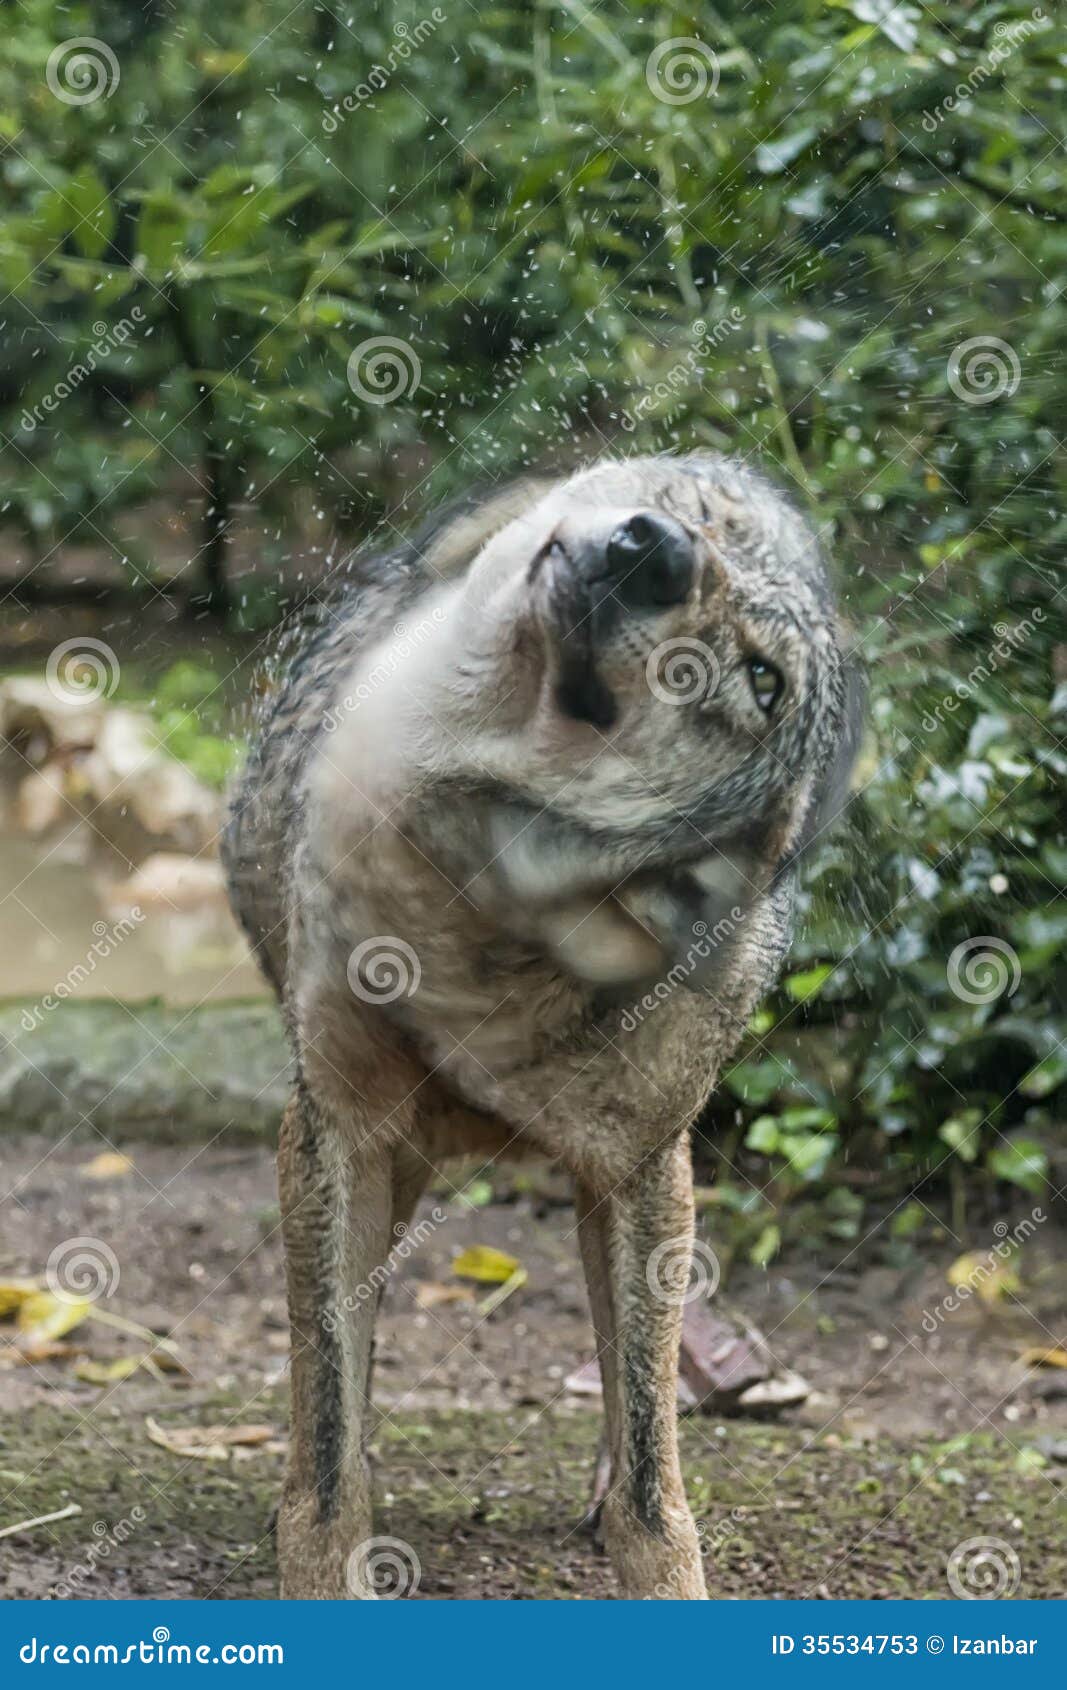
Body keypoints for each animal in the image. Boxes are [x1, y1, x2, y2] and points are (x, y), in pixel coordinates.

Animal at [223, 451, 863, 1600]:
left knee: (631, 1374)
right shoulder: (338, 1132)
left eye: (761, 682)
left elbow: (653, 1466)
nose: (654, 545)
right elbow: (329, 1433)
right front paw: (327, 1556)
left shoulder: (641, 1165)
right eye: (704, 520)